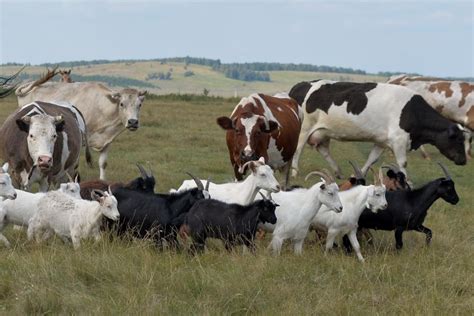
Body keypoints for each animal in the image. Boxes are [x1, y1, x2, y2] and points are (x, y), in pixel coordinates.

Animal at [288, 79, 466, 178]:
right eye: (457, 139)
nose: (464, 160)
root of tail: (301, 85)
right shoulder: (399, 139)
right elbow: (403, 163)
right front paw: (408, 183)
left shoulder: (382, 141)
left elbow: (371, 159)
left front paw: (358, 174)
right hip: (304, 129)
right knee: (297, 149)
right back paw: (295, 172)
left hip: (322, 131)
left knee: (323, 150)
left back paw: (338, 172)